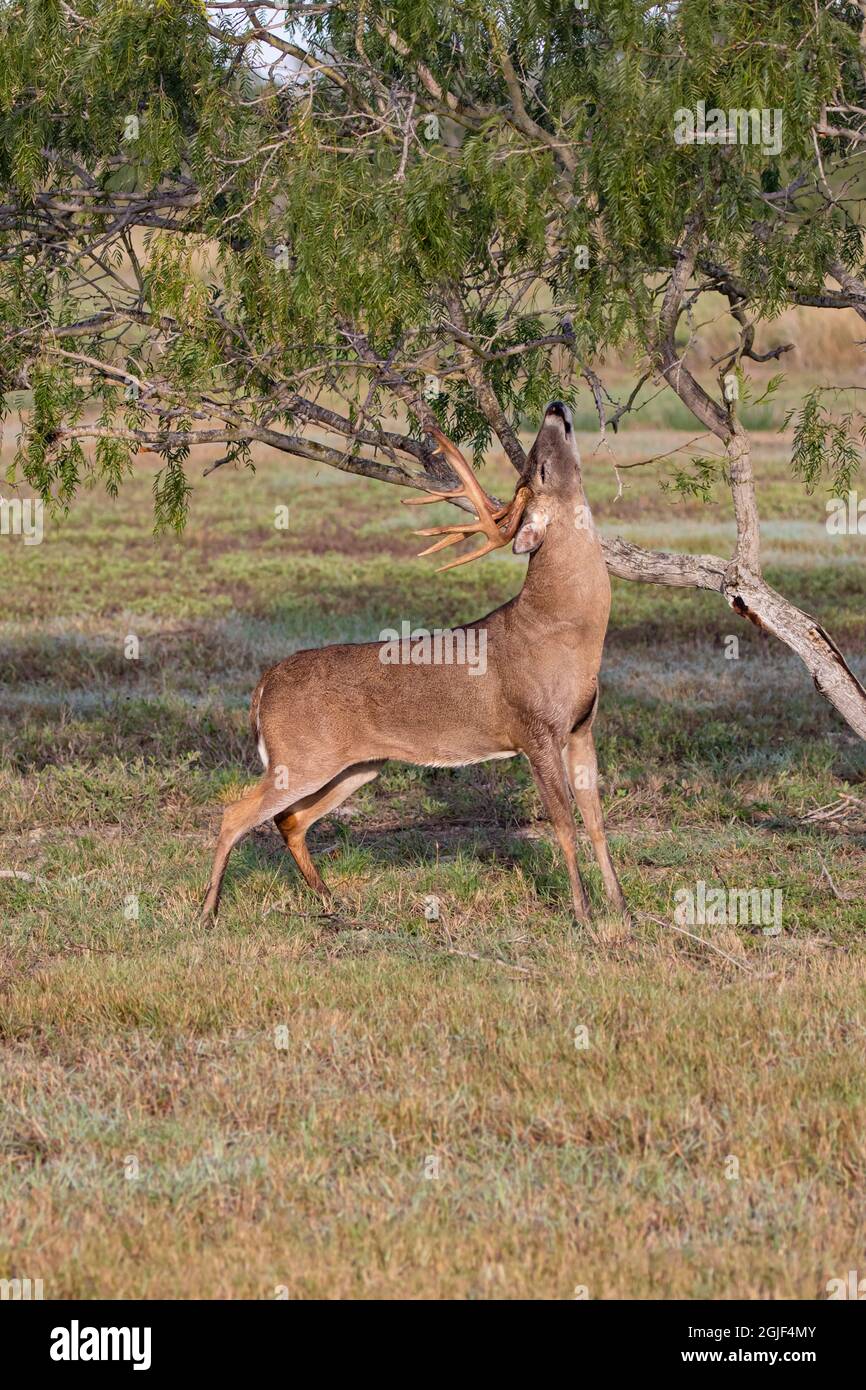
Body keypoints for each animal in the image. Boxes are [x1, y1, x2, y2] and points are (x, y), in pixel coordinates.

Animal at [201, 401, 627, 925]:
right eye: (540, 465)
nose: (554, 407)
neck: (566, 631)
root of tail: (264, 684)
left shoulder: (582, 728)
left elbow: (597, 821)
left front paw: (621, 907)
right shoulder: (536, 729)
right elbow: (565, 824)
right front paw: (583, 915)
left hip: (355, 766)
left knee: (290, 819)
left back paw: (330, 900)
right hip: (299, 757)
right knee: (234, 814)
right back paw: (208, 911)